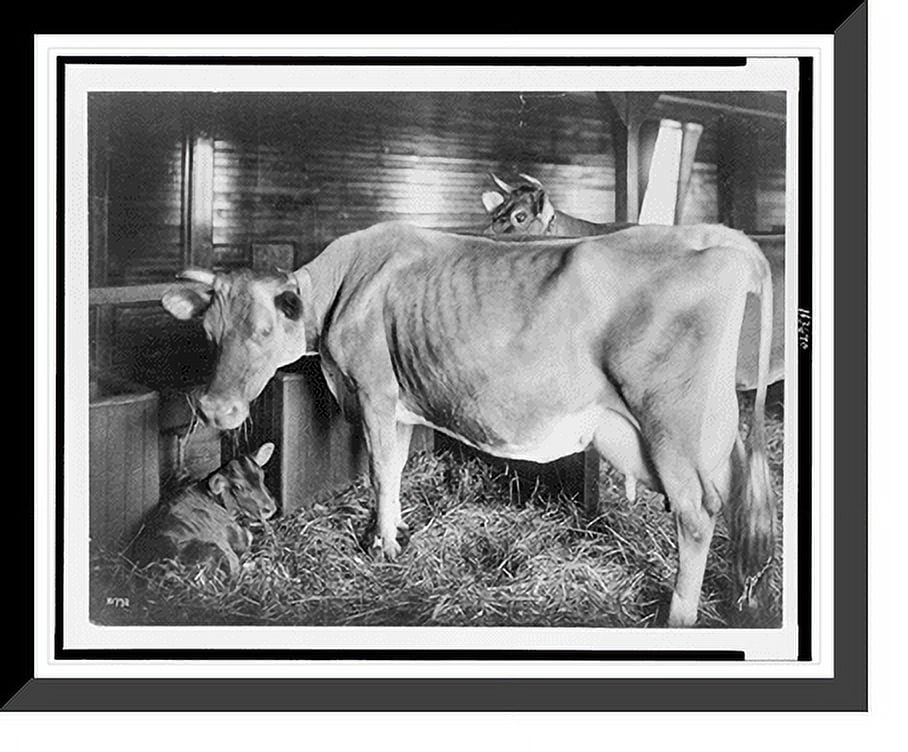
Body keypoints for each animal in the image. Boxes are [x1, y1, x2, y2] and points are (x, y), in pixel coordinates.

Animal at [161, 220, 774, 626]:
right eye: (210, 333)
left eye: (264, 332)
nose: (215, 409)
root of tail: (716, 237)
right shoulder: (398, 401)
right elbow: (396, 470)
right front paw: (396, 534)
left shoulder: (374, 392)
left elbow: (379, 471)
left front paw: (380, 546)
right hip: (715, 430)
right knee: (738, 497)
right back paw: (746, 592)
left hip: (671, 425)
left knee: (697, 513)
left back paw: (680, 615)